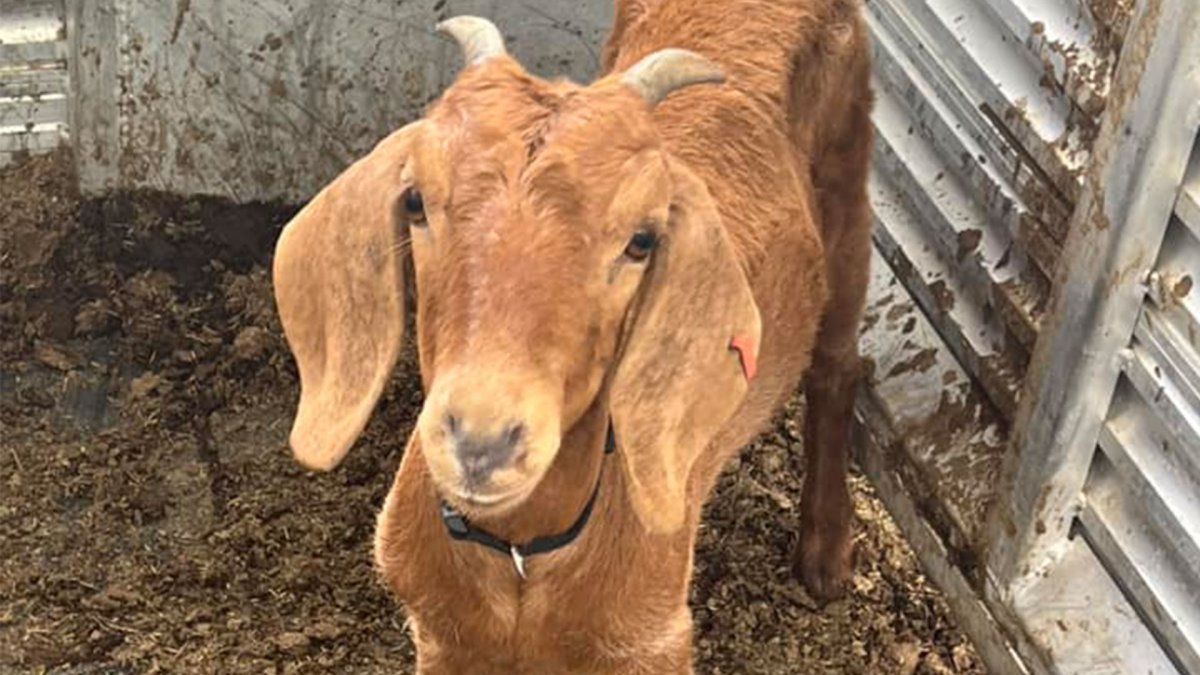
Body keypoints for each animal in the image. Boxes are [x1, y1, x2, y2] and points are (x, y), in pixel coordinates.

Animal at [272, 0, 873, 671]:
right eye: (416, 201)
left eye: (642, 240)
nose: (482, 441)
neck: (521, 556)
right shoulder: (442, 638)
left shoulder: (654, 643)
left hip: (849, 179)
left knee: (838, 363)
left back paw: (825, 558)